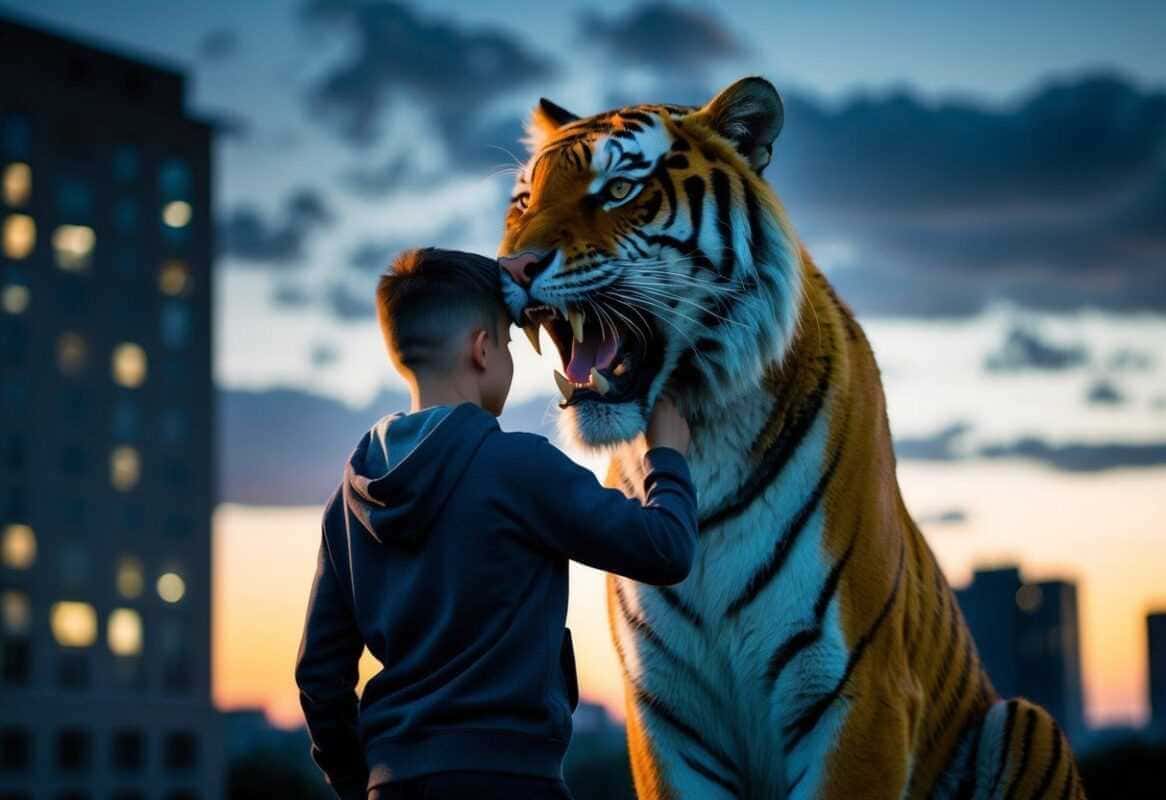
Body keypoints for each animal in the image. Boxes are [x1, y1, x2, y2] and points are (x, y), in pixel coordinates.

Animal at [495, 77, 1084, 798]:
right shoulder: (664, 712)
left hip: (1028, 720)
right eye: (524, 200)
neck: (704, 441)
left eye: (620, 189)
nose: (513, 266)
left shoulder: (858, 695)